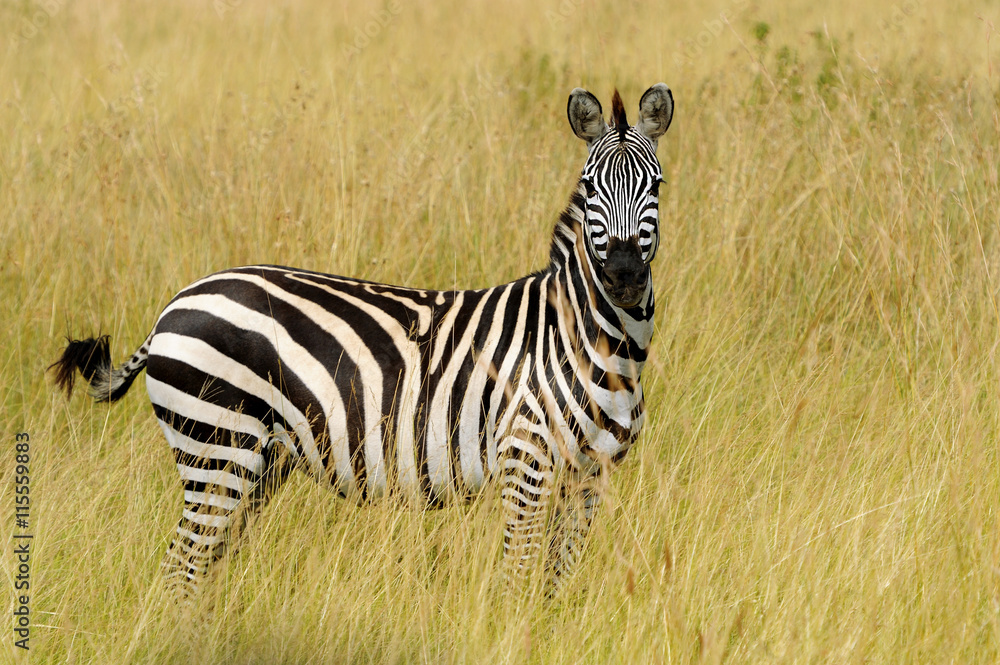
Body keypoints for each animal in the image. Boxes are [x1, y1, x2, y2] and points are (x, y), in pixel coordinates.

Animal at [51, 84, 674, 598]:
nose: (623, 275)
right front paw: (513, 633)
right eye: (590, 188)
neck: (597, 342)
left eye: (657, 185)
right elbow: (518, 580)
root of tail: (173, 306)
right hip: (218, 448)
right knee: (181, 570)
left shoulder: (590, 475)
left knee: (199, 568)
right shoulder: (529, 462)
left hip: (255, 465)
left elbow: (554, 584)